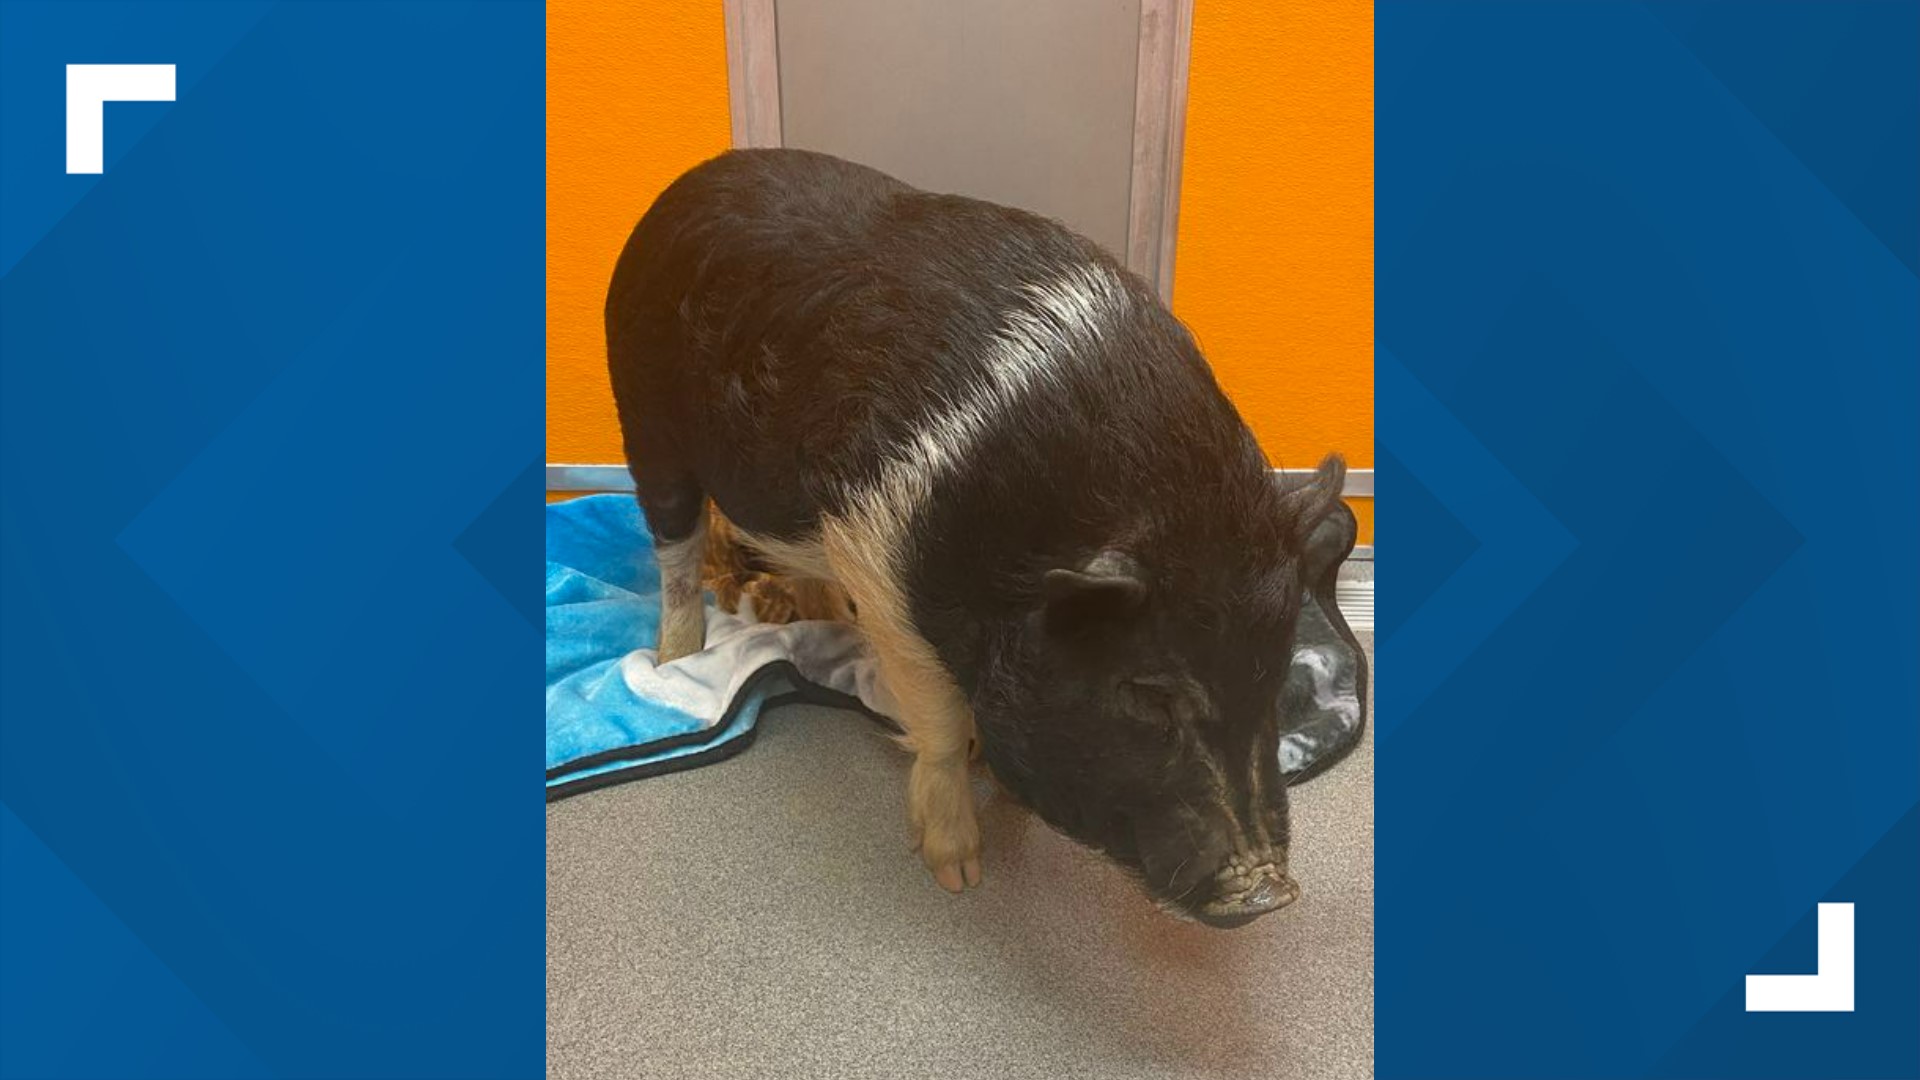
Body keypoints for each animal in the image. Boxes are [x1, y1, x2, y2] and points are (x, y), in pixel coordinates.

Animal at [605, 149, 1348, 928]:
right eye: (1147, 695)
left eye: (1273, 676)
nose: (1269, 891)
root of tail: (690, 182)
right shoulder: (879, 556)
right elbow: (936, 716)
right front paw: (958, 874)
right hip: (646, 422)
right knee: (675, 551)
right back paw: (675, 660)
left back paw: (819, 618)